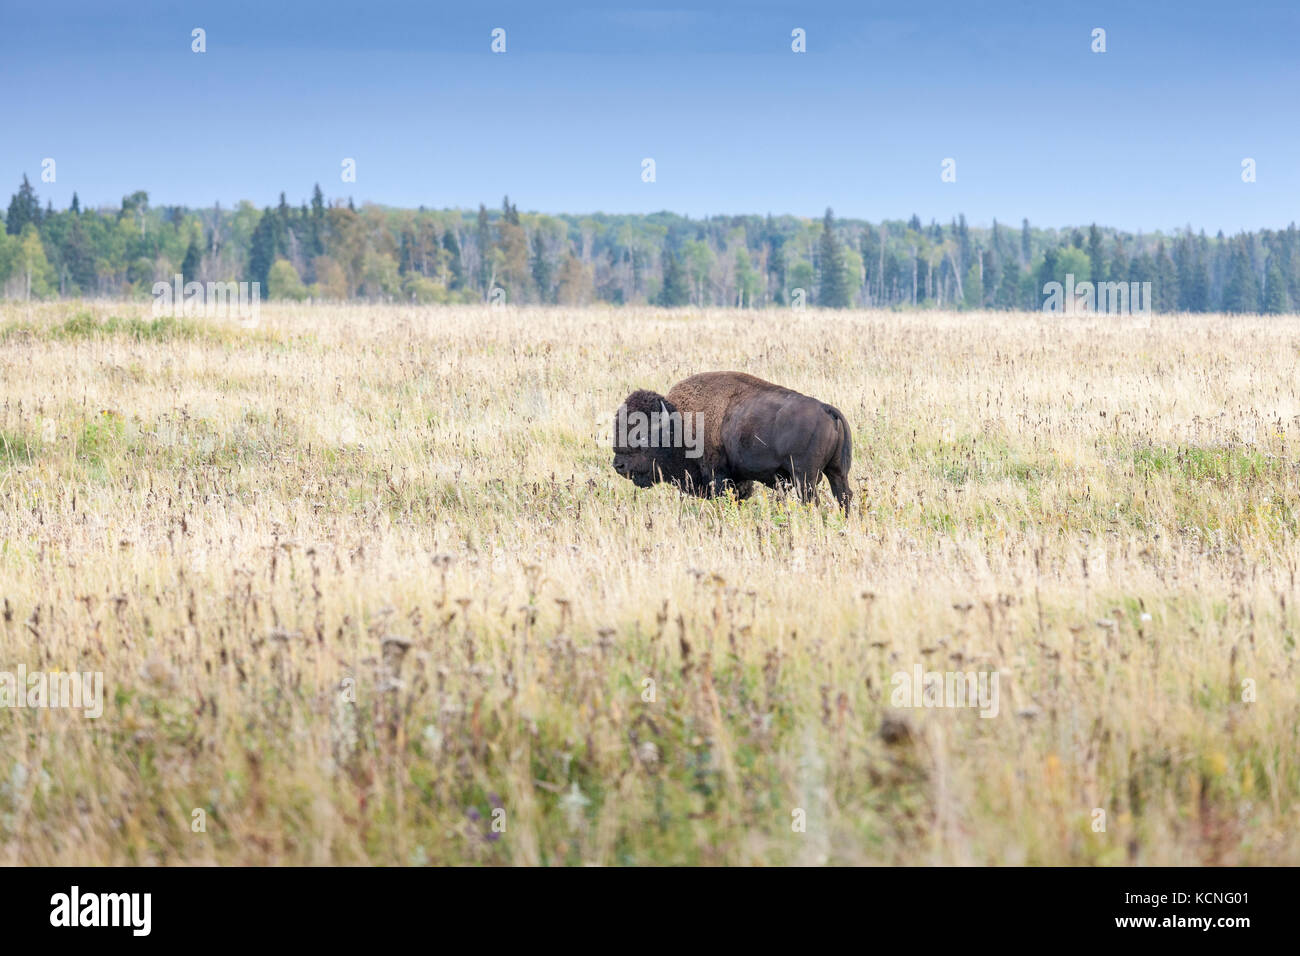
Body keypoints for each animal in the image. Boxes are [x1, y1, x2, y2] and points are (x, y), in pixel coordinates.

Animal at [611, 371, 853, 512]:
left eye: (642, 436)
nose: (618, 465)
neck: (679, 423)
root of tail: (827, 409)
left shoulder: (718, 476)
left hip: (805, 477)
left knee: (813, 501)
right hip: (836, 472)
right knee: (844, 496)